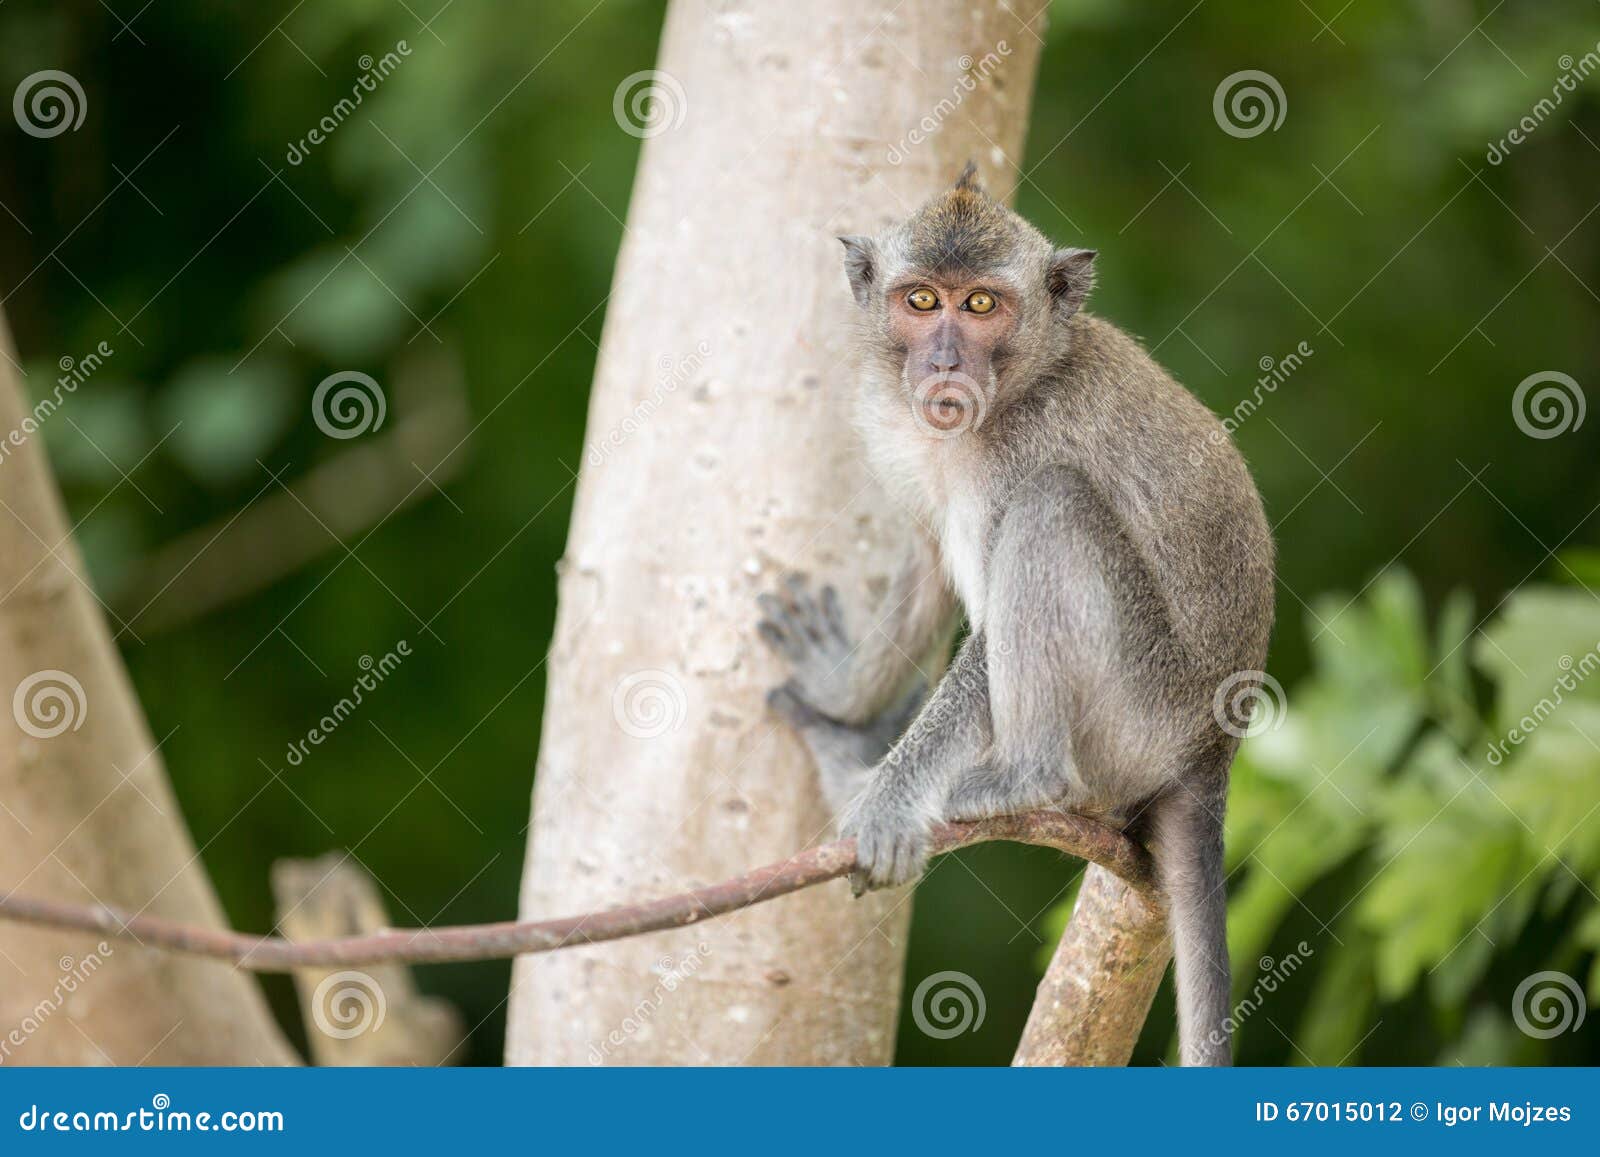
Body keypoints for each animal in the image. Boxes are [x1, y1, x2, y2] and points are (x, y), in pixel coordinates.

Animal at [756, 163, 1275, 1066]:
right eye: (921, 300)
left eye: (981, 306)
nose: (944, 360)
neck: (1018, 386)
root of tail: (1214, 751)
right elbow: (929, 566)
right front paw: (838, 692)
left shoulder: (1022, 447)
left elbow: (993, 622)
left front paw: (888, 800)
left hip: (1141, 715)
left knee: (1054, 507)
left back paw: (1020, 777)